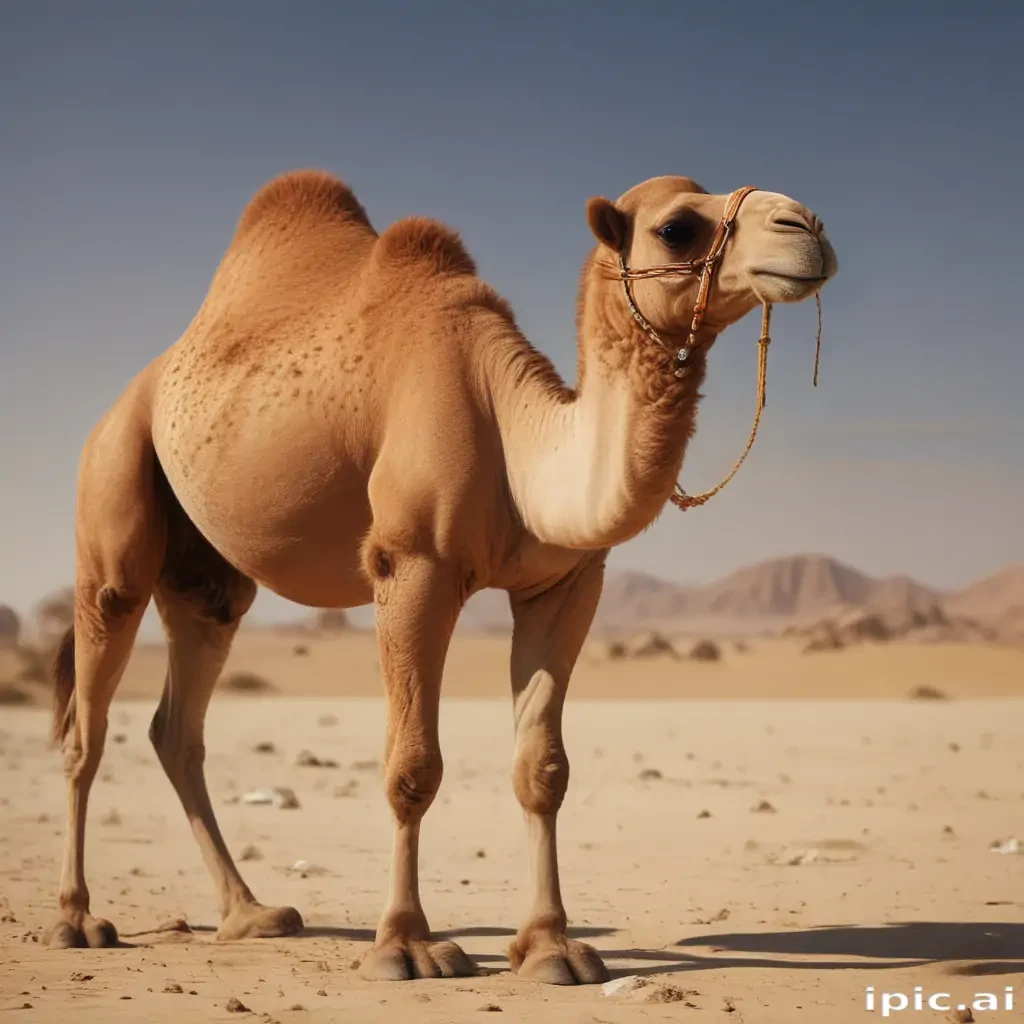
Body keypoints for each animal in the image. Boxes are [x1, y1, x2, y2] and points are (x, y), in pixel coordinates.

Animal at [46, 169, 836, 984]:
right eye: (677, 227)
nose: (805, 226)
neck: (511, 432)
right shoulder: (412, 565)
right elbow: (412, 766)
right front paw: (405, 944)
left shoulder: (563, 586)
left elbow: (543, 768)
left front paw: (551, 948)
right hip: (114, 484)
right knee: (88, 716)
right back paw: (76, 921)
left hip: (206, 577)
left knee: (181, 715)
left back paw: (251, 914)